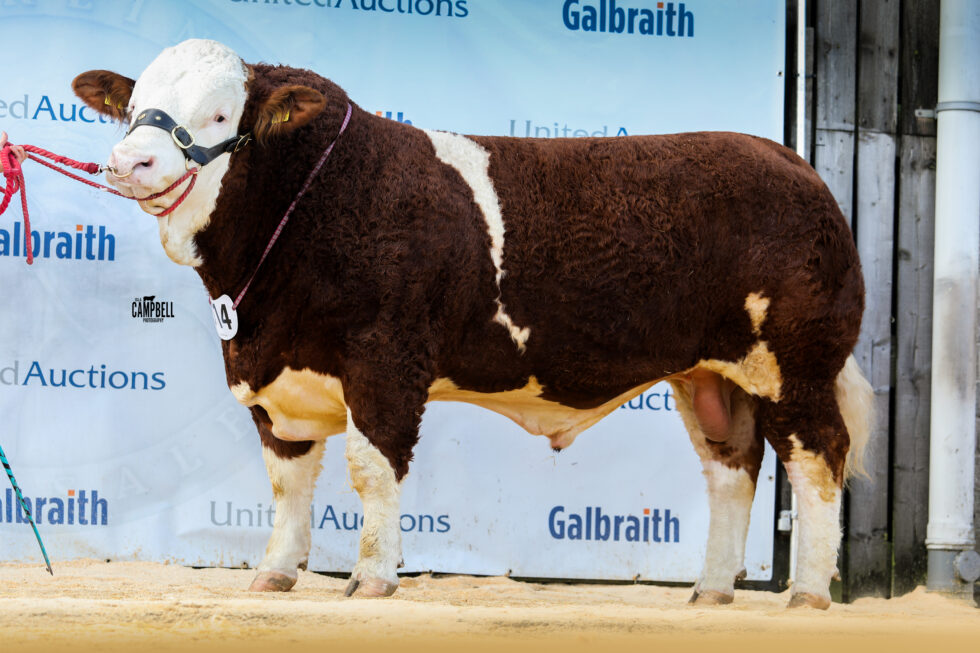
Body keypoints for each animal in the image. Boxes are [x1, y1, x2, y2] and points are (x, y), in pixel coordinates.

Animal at [71, 39, 871, 609]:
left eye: (218, 114)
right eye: (134, 105)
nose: (129, 162)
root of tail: (789, 159)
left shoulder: (385, 360)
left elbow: (371, 467)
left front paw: (372, 579)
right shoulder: (274, 377)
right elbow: (285, 479)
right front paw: (274, 574)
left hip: (797, 363)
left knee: (818, 455)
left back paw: (806, 594)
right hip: (709, 374)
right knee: (731, 466)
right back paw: (709, 592)